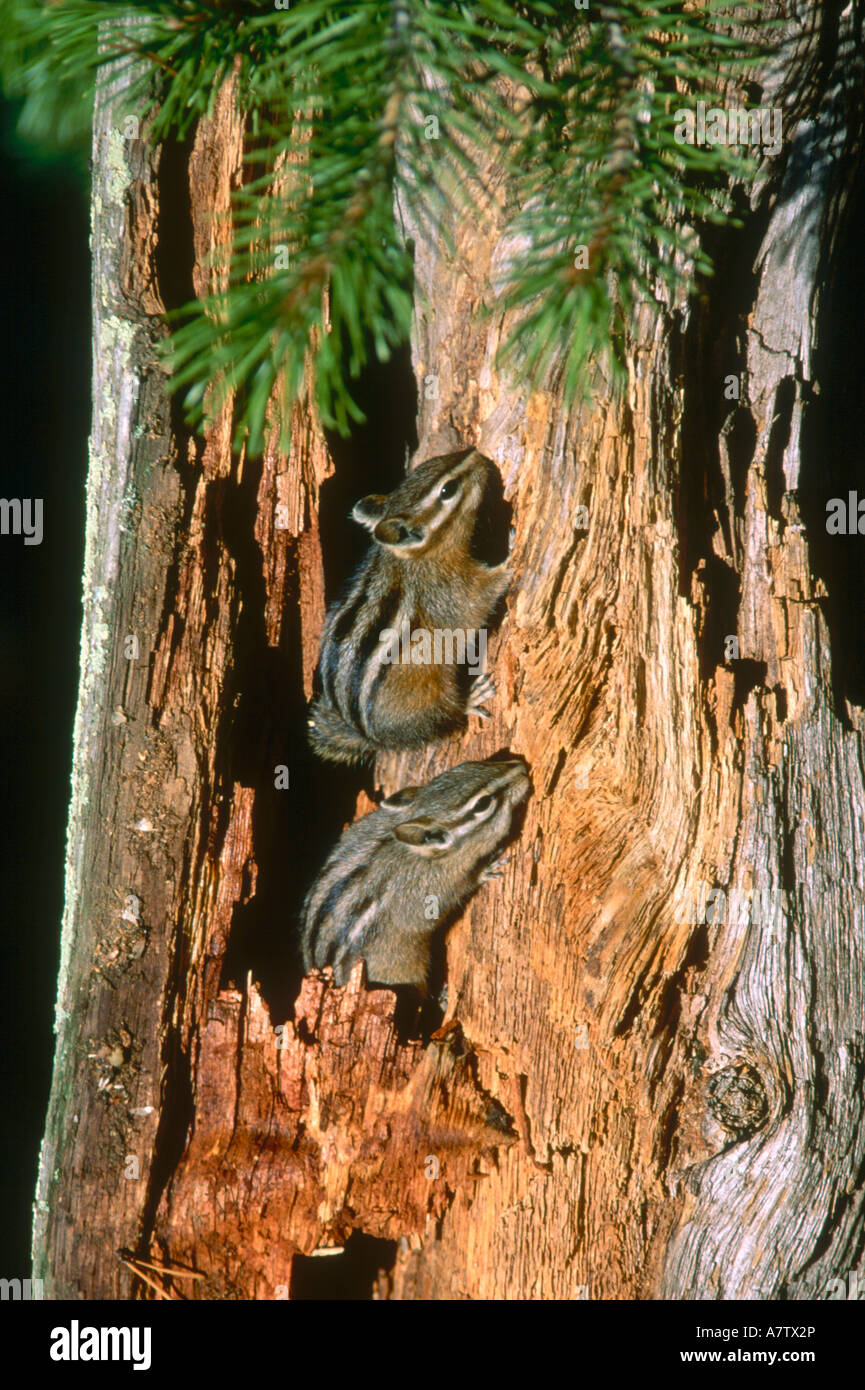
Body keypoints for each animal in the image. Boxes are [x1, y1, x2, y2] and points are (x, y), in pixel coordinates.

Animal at [301, 758, 530, 993]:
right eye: (483, 803)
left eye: (468, 764)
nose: (521, 767)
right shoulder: (436, 891)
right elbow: (465, 884)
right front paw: (488, 867)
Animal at [308, 448, 510, 764]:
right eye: (447, 489)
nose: (476, 453)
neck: (414, 557)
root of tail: (372, 737)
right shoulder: (450, 592)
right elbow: (482, 595)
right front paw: (510, 560)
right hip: (424, 704)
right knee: (443, 718)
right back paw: (470, 697)